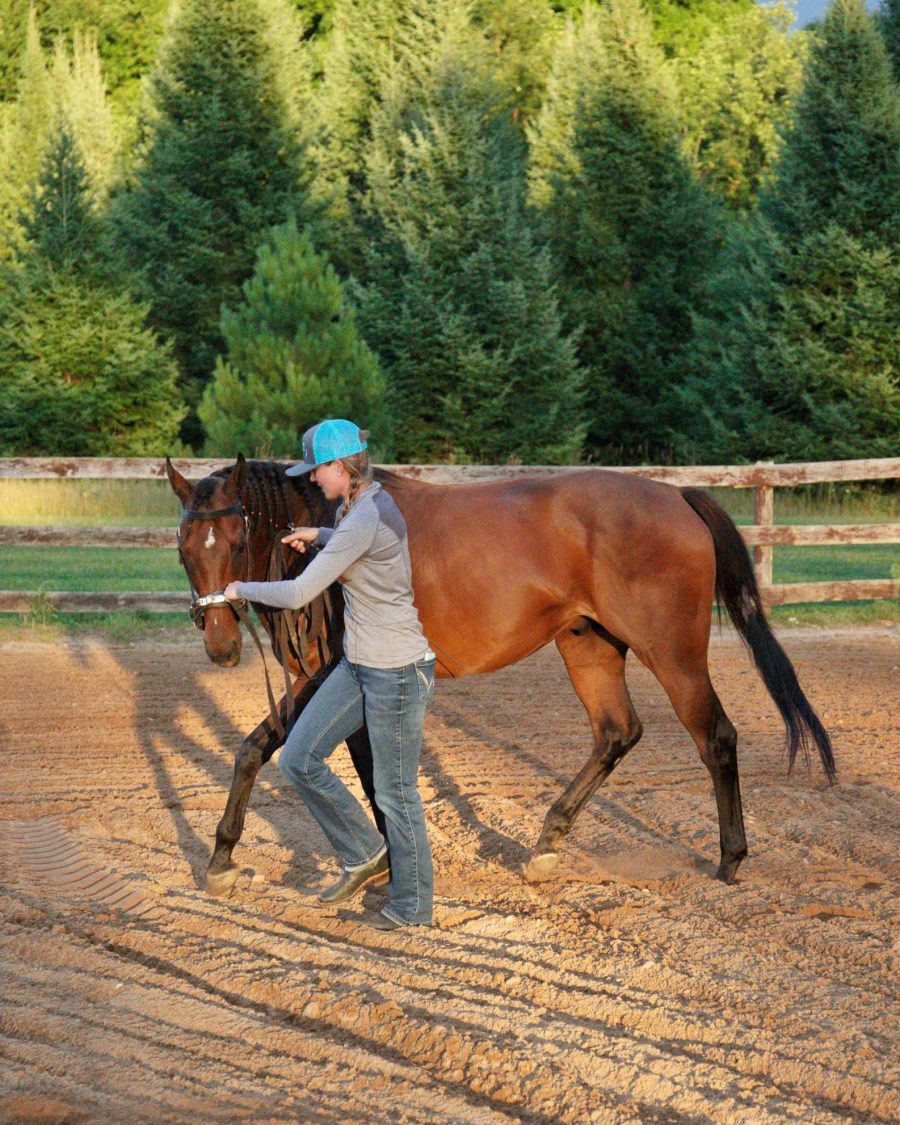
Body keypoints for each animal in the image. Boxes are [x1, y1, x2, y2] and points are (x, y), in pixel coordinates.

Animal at [166, 454, 835, 897]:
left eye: (236, 537)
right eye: (183, 548)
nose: (221, 646)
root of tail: (677, 499)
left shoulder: (331, 676)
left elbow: (279, 755)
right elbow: (326, 762)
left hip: (672, 653)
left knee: (716, 737)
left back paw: (730, 859)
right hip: (589, 645)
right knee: (617, 732)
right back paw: (546, 846)